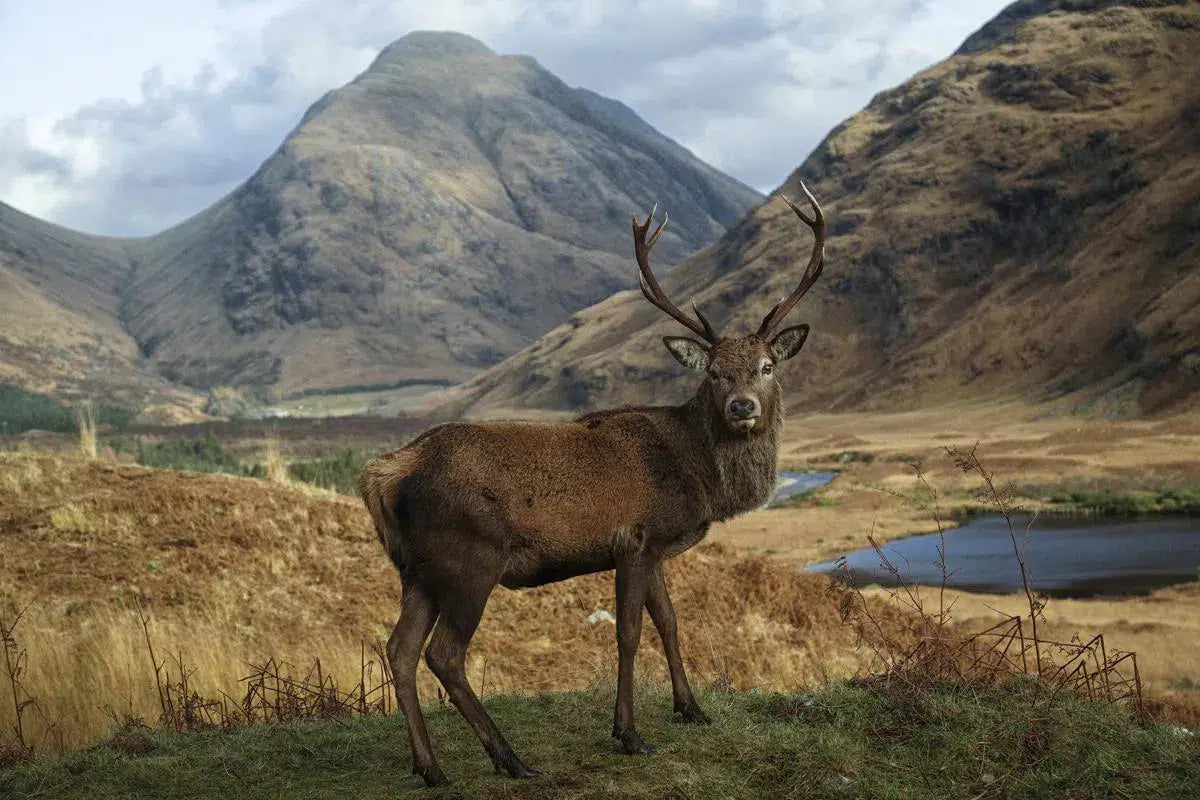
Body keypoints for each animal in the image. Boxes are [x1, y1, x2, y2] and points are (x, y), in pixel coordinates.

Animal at [359, 183, 825, 787]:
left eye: (768, 366)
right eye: (713, 372)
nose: (742, 407)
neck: (697, 474)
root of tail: (385, 473)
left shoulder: (657, 549)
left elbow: (670, 622)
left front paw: (692, 708)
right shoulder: (635, 540)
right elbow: (628, 634)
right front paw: (629, 734)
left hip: (417, 569)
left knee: (399, 648)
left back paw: (430, 767)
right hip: (469, 557)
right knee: (444, 654)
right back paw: (510, 758)